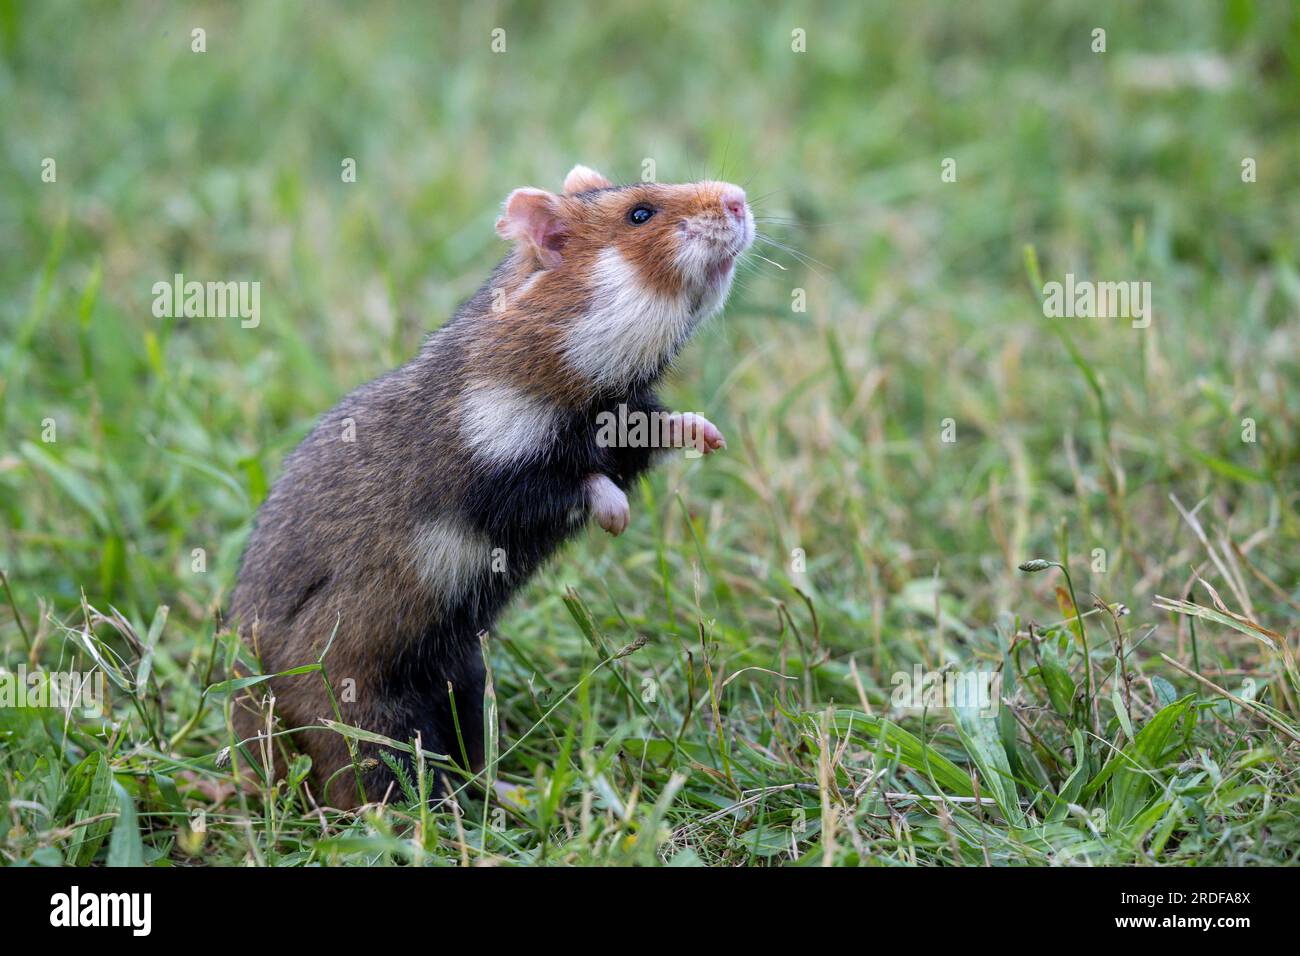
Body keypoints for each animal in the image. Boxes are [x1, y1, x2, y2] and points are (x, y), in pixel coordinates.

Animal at [229, 165, 753, 808]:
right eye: (640, 214)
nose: (739, 199)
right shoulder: (483, 471)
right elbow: (573, 485)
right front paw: (616, 513)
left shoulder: (621, 421)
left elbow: (642, 436)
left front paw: (706, 432)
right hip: (360, 711)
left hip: (465, 677)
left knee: (470, 755)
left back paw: (511, 791)